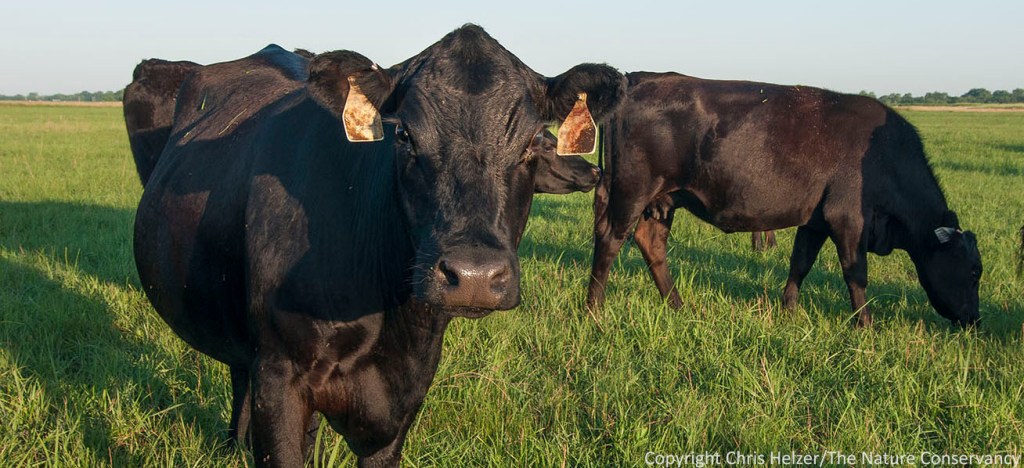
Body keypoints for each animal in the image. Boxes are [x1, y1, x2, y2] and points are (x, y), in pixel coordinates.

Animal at [585, 72, 982, 328]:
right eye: (974, 270)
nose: (975, 320)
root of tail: (639, 79)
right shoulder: (848, 218)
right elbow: (856, 273)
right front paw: (865, 325)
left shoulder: (816, 220)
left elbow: (800, 263)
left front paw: (789, 311)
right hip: (631, 192)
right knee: (609, 241)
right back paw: (594, 308)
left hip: (663, 200)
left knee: (650, 244)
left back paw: (678, 306)